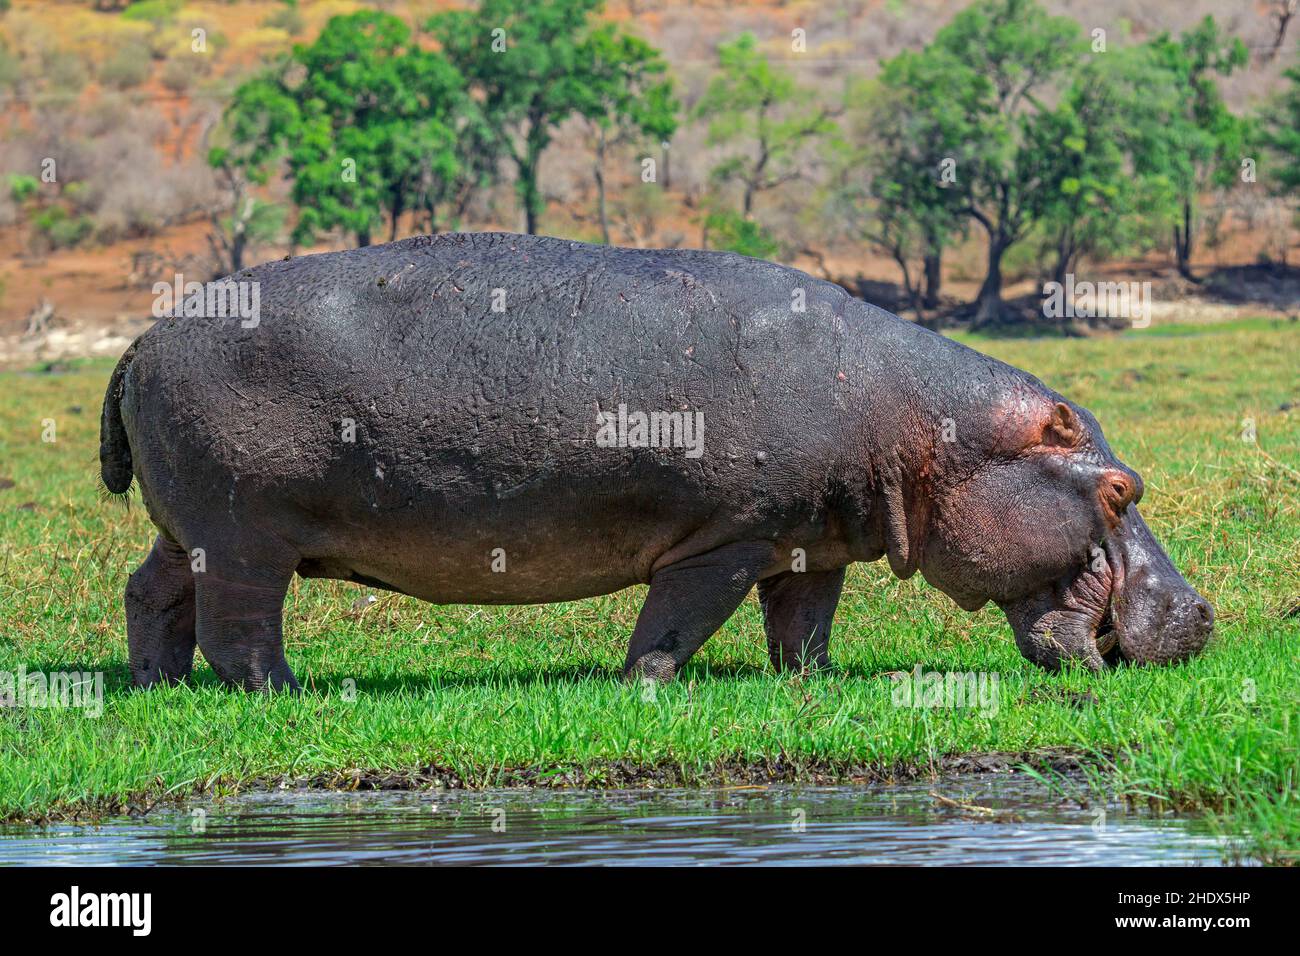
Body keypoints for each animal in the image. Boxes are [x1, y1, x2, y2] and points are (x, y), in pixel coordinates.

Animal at [100, 233, 1213, 690]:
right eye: (1121, 488)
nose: (1202, 612)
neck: (927, 428)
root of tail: (141, 336)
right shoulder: (726, 539)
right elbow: (677, 620)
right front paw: (647, 684)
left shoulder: (808, 543)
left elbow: (803, 625)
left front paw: (810, 688)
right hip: (246, 536)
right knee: (242, 631)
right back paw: (289, 693)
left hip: (189, 528)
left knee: (151, 589)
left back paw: (154, 687)